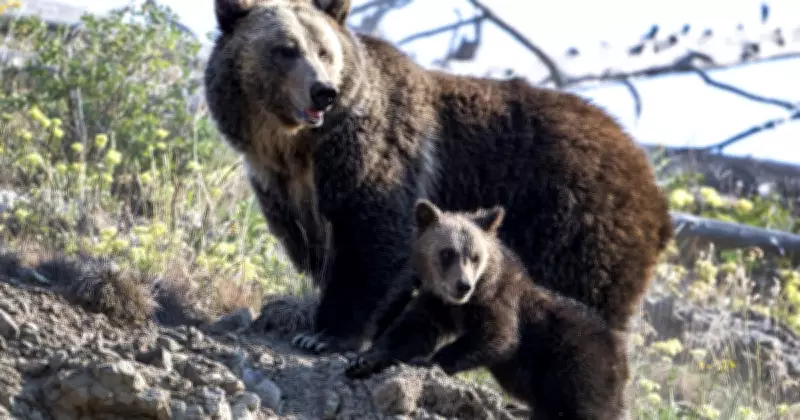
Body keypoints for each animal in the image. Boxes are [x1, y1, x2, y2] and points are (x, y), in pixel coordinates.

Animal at [203, 0, 674, 354]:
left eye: (323, 50)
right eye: (286, 48)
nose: (323, 91)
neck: (297, 146)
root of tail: (653, 186)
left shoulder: (377, 155)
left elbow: (371, 238)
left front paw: (327, 333)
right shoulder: (283, 185)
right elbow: (318, 245)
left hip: (578, 223)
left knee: (587, 300)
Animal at [345, 199, 631, 420]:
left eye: (474, 256)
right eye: (447, 252)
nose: (463, 285)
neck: (464, 304)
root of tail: (622, 359)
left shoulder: (500, 303)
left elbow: (496, 336)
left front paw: (428, 361)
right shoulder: (437, 302)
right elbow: (412, 330)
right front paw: (364, 361)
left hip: (578, 364)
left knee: (579, 406)